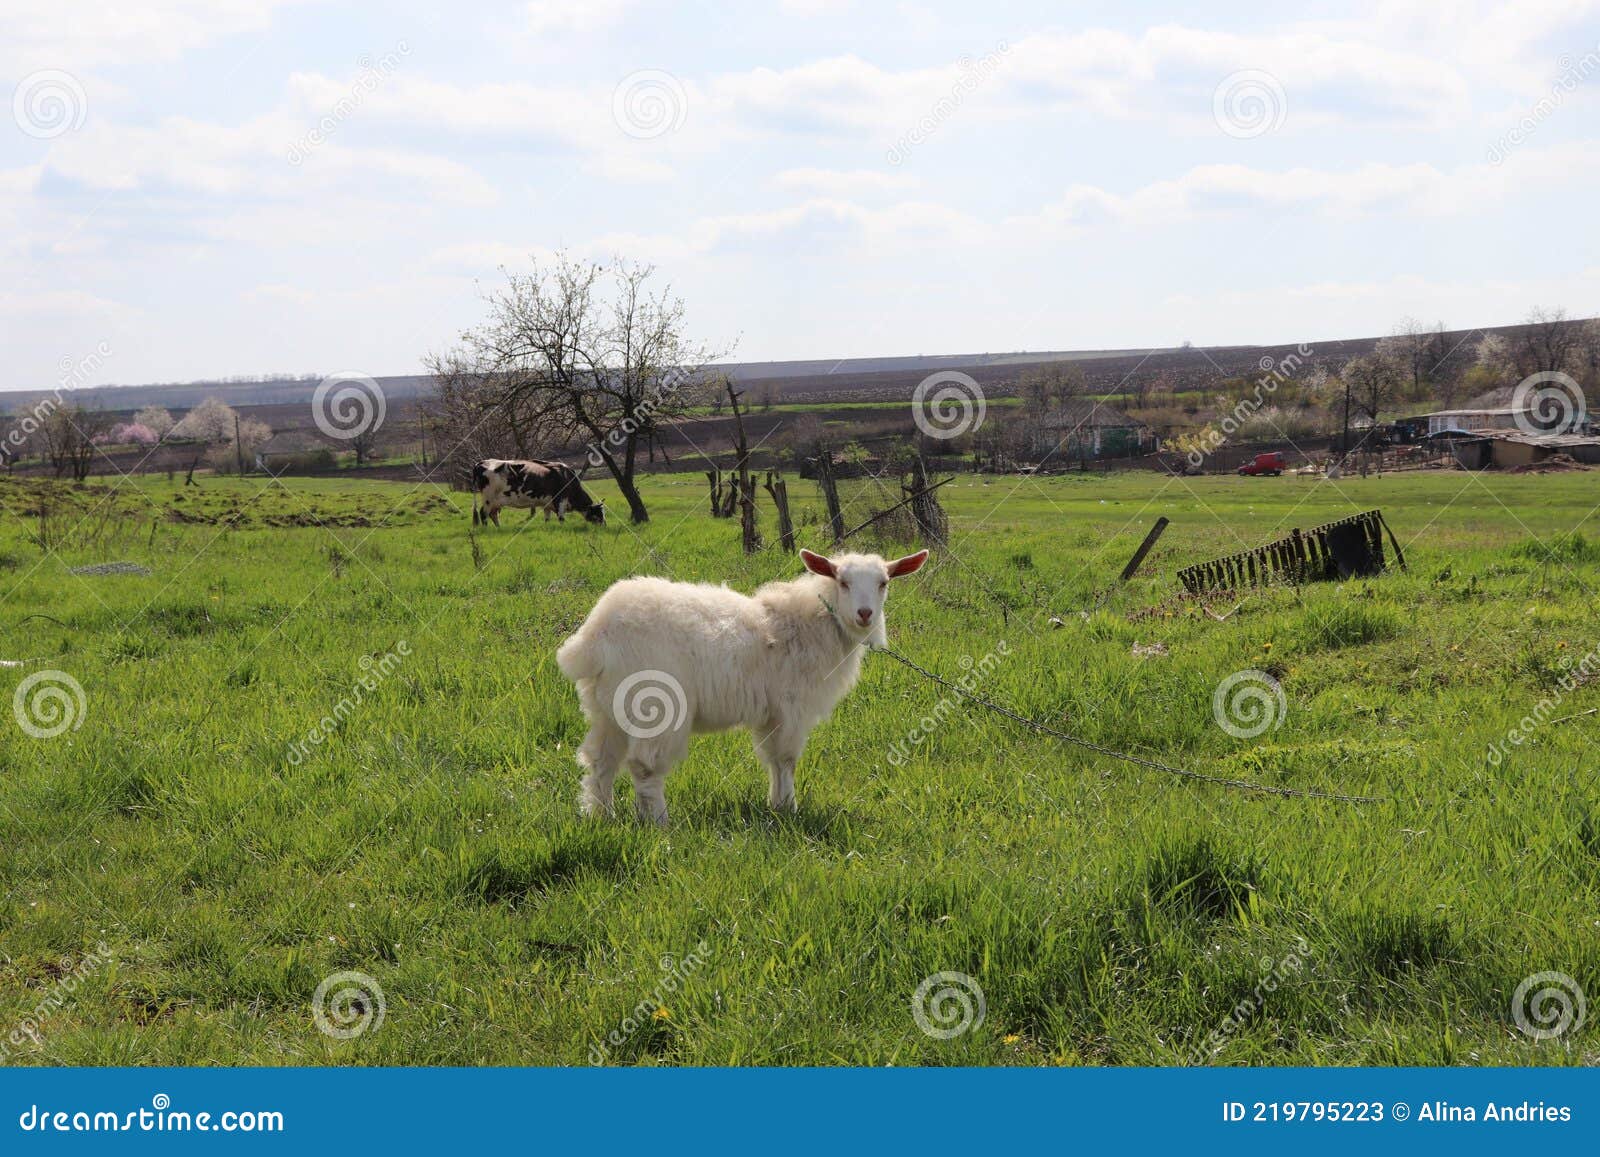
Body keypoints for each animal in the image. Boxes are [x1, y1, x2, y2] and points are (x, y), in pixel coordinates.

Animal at [471, 459, 605, 527]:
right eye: (599, 513)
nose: (604, 525)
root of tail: (481, 462)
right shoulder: (560, 500)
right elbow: (561, 518)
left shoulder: (547, 504)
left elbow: (547, 519)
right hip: (488, 499)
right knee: (483, 514)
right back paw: (486, 529)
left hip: (497, 502)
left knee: (493, 515)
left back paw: (499, 528)